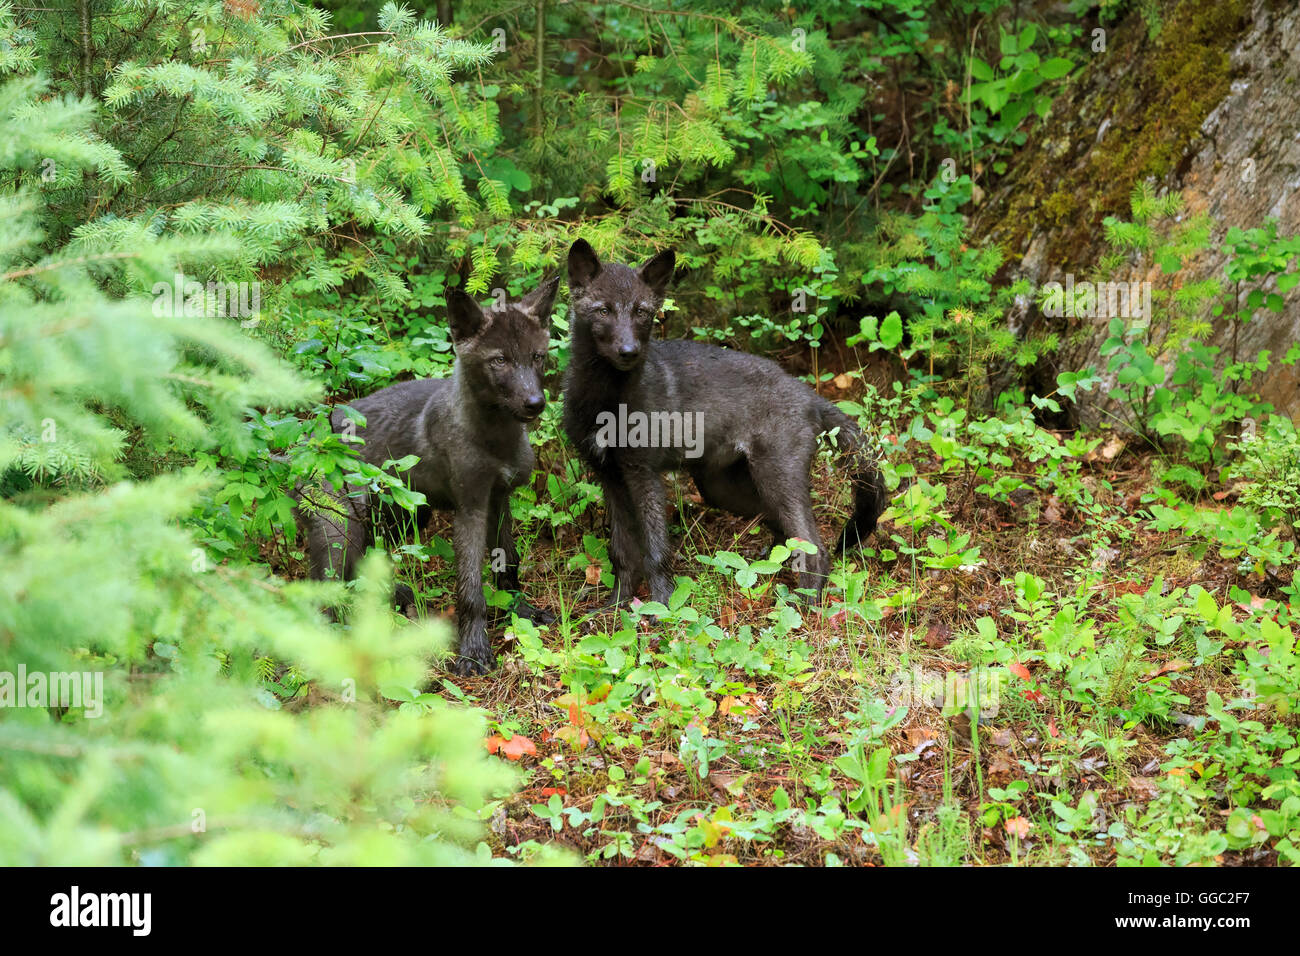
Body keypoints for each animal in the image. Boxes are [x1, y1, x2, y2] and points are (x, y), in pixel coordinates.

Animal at [296, 278, 558, 675]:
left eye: (537, 357)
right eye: (499, 360)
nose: (535, 404)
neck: (493, 439)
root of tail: (299, 448)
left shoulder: (499, 501)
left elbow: (508, 565)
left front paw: (522, 611)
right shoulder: (470, 510)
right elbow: (471, 590)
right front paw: (473, 651)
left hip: (405, 517)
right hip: (340, 533)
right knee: (324, 594)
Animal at [561, 239, 887, 606]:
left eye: (642, 312)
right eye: (603, 310)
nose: (629, 351)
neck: (605, 400)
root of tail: (808, 394)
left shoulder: (643, 474)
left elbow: (655, 553)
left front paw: (662, 608)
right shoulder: (610, 477)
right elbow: (622, 554)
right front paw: (615, 608)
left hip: (776, 479)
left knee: (815, 548)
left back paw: (801, 607)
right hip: (722, 488)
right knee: (784, 535)